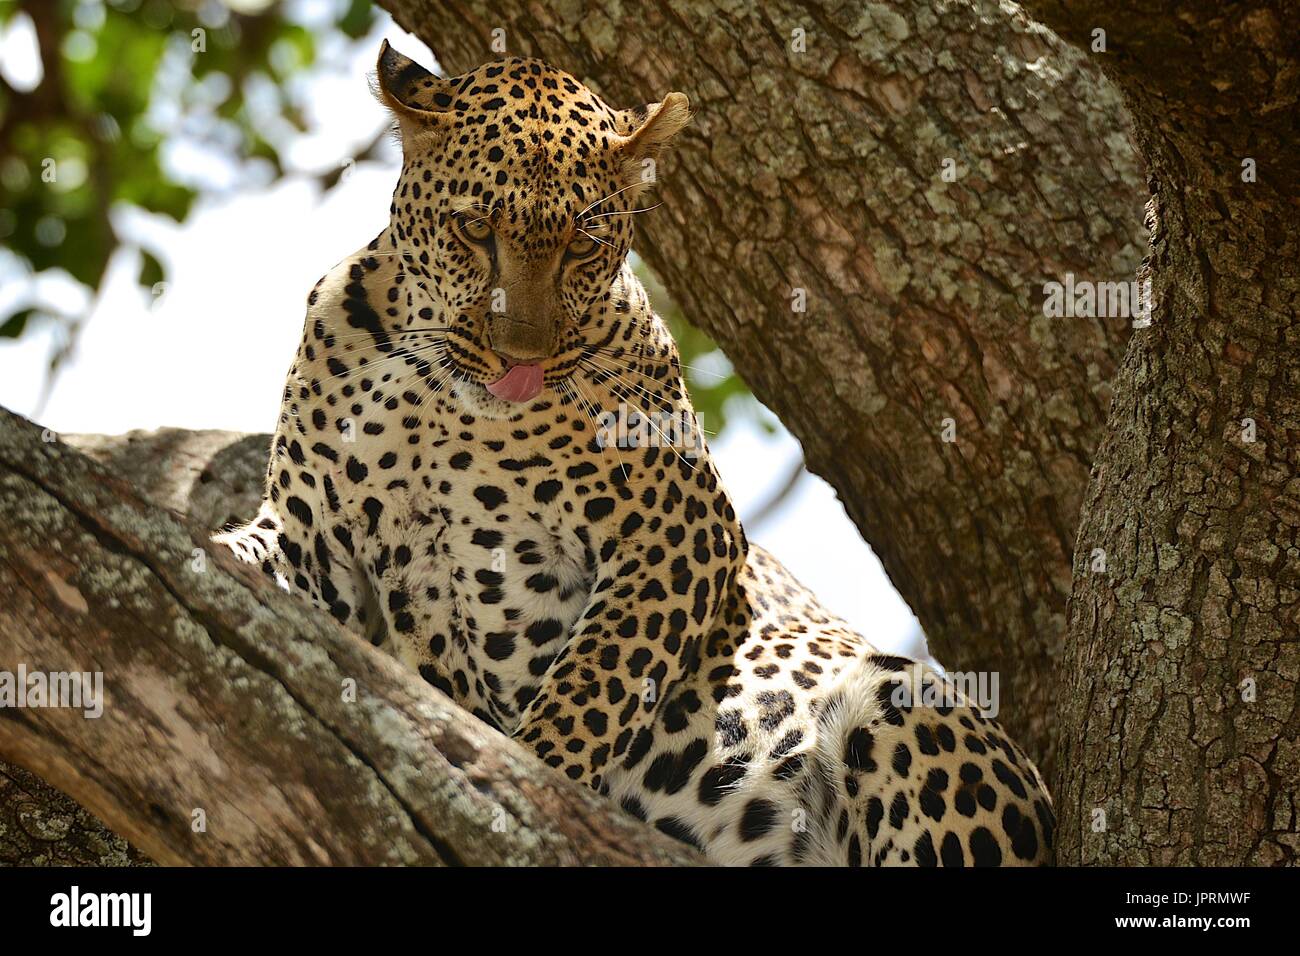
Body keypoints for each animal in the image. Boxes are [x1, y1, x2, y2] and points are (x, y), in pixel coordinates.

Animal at [216, 40, 1054, 866]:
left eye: (583, 245)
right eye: (475, 229)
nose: (520, 359)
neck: (439, 400)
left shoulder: (680, 535)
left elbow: (594, 686)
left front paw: (533, 785)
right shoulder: (317, 539)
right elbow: (254, 557)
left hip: (902, 701)